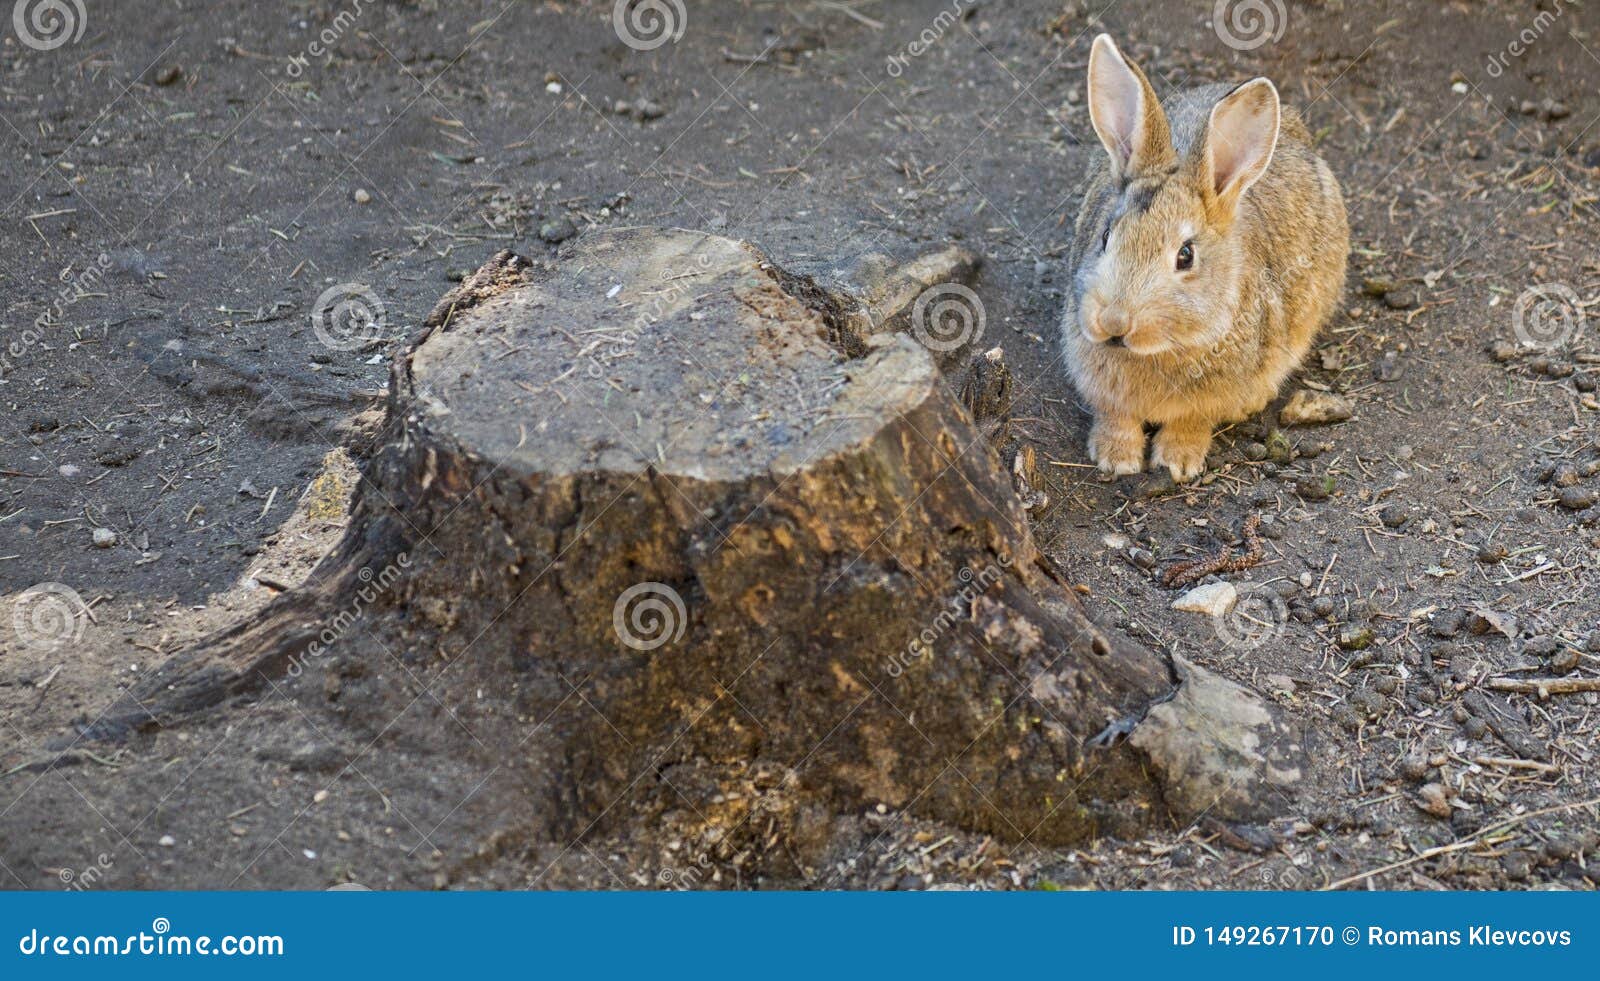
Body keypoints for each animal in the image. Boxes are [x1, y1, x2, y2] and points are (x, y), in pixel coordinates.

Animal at [1059, 34, 1348, 482]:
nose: (1114, 322)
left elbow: (1192, 420)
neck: (1161, 348)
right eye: (1105, 236)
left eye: (1185, 255)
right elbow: (1116, 415)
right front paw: (1115, 457)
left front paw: (1178, 461)